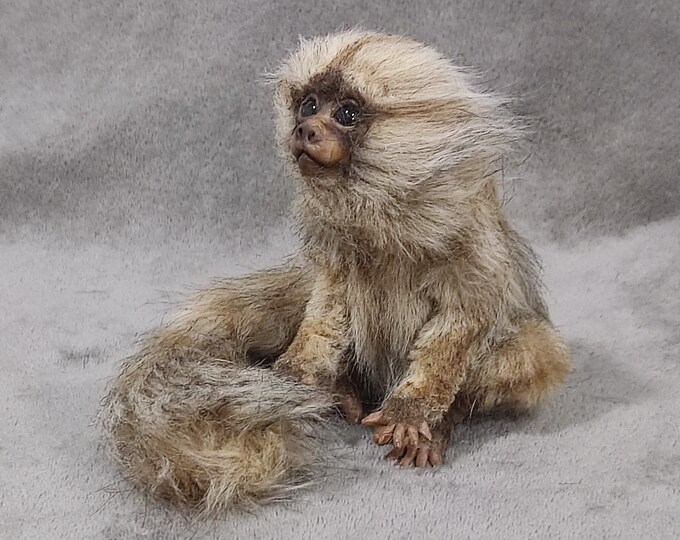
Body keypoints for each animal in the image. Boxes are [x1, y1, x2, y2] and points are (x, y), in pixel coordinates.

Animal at [100, 29, 570, 514]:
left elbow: (469, 314)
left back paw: (446, 417)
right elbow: (331, 300)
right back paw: (342, 389)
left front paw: (416, 409)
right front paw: (300, 374)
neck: (381, 211)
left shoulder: (468, 231)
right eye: (309, 106)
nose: (305, 130)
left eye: (346, 114)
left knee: (531, 349)